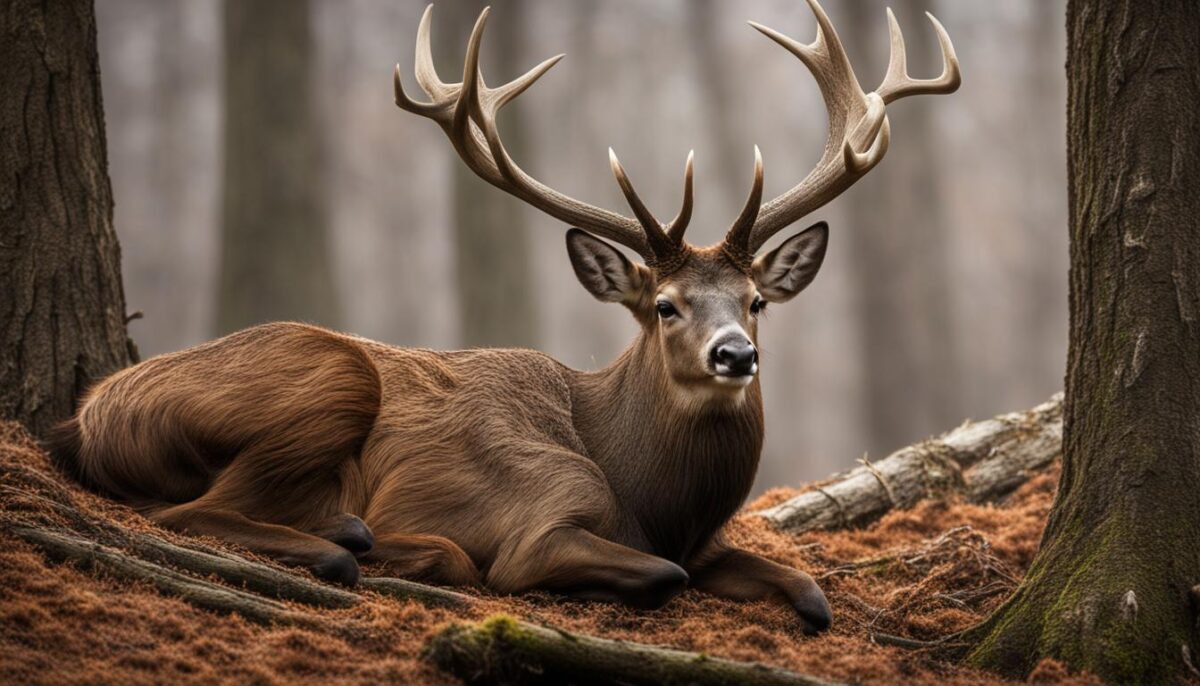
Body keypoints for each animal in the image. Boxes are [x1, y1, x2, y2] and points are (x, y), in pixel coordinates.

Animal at [48, 0, 959, 635]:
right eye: (665, 306)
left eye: (757, 302)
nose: (736, 355)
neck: (646, 492)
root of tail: (89, 416)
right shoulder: (536, 521)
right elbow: (658, 575)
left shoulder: (698, 539)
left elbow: (809, 590)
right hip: (330, 374)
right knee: (190, 514)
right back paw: (355, 539)